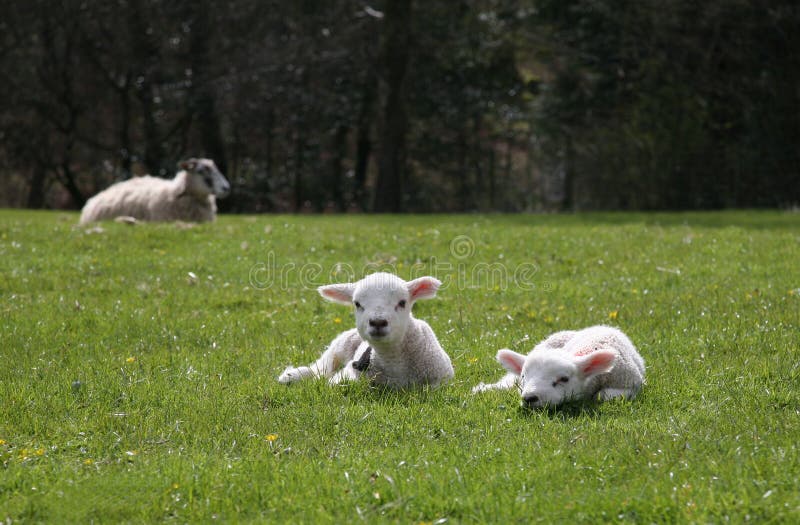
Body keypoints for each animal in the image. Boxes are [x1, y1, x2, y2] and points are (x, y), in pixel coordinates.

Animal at [278, 272, 454, 389]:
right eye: (357, 304)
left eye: (402, 302)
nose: (378, 322)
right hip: (338, 347)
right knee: (319, 369)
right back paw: (290, 377)